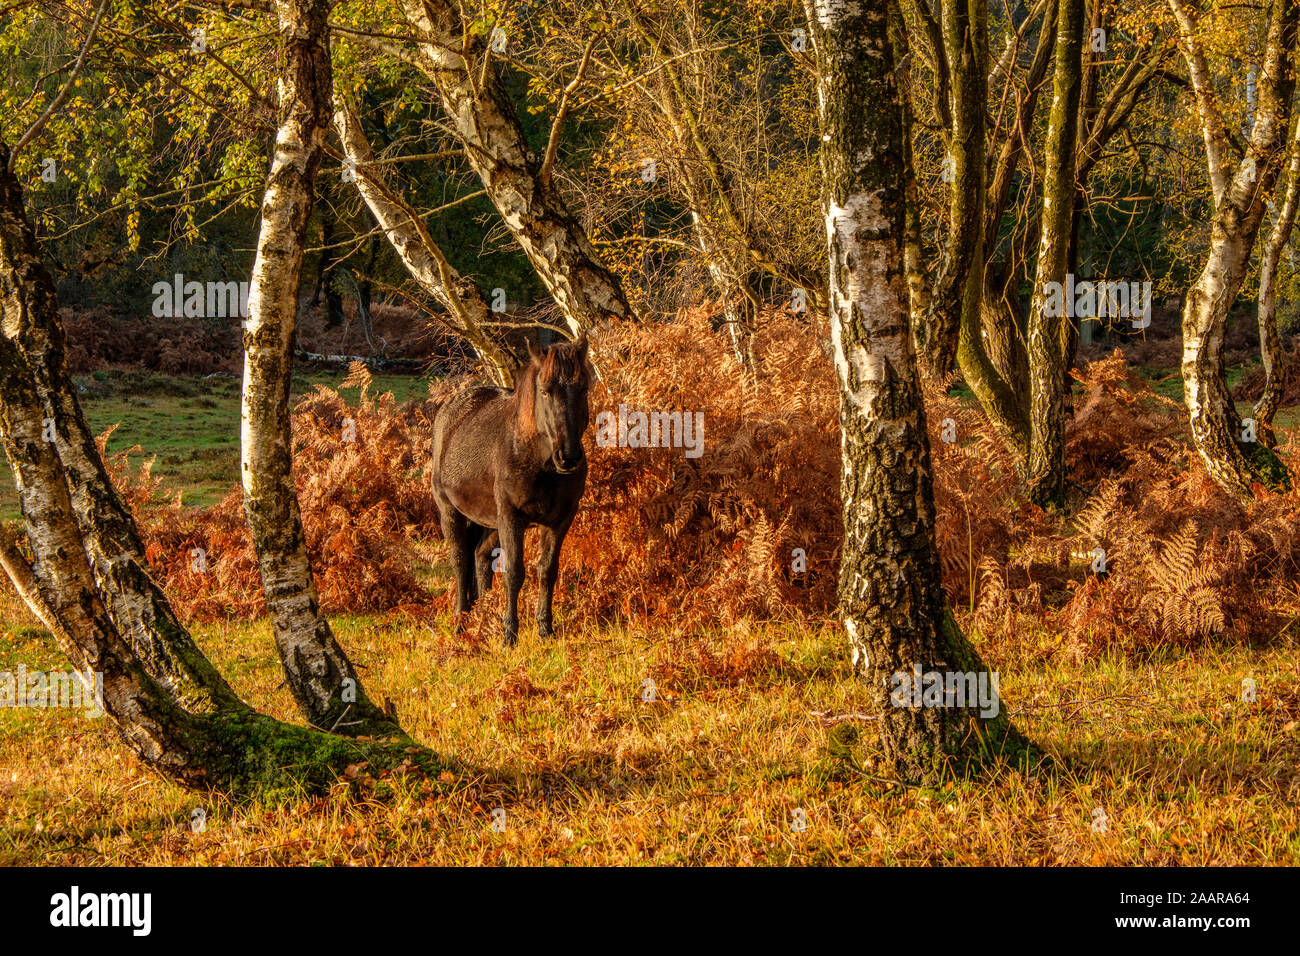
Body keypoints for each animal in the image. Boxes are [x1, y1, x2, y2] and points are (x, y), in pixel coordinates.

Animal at [429, 336, 591, 646]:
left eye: (583, 388)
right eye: (545, 391)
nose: (569, 457)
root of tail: (450, 408)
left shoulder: (560, 520)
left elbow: (547, 571)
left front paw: (545, 630)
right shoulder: (511, 517)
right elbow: (514, 573)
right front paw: (509, 636)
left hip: (490, 521)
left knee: (480, 557)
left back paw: (483, 616)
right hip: (451, 511)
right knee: (461, 562)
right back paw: (461, 622)